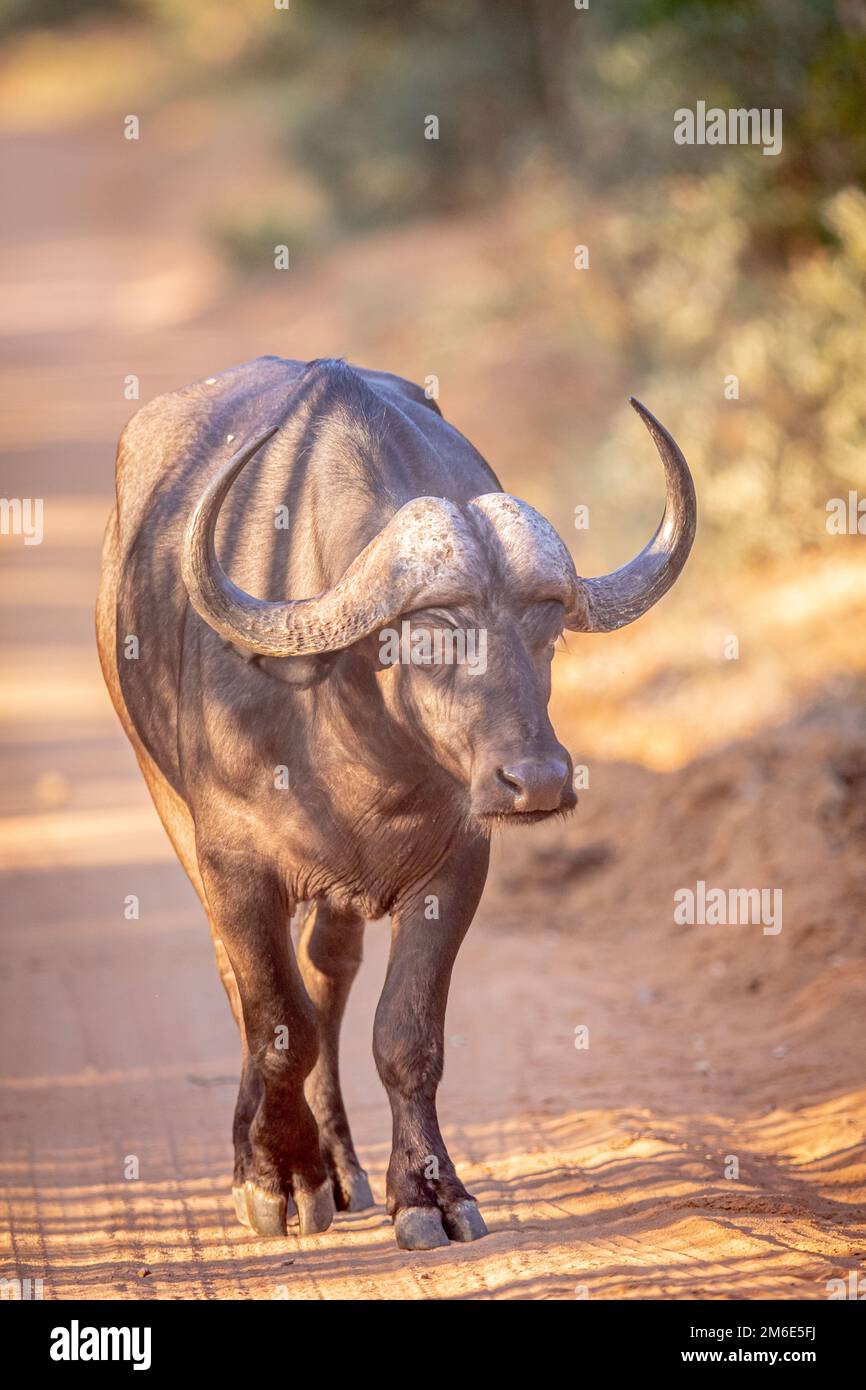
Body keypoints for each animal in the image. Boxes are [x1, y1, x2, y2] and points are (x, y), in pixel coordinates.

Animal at [96, 356, 695, 1249]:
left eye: (547, 625)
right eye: (433, 627)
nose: (539, 780)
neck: (353, 732)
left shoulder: (457, 866)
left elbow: (405, 1034)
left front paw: (426, 1190)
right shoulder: (234, 864)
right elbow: (276, 1025)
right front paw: (278, 1179)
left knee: (329, 979)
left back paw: (340, 1163)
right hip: (167, 802)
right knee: (247, 988)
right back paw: (266, 1158)